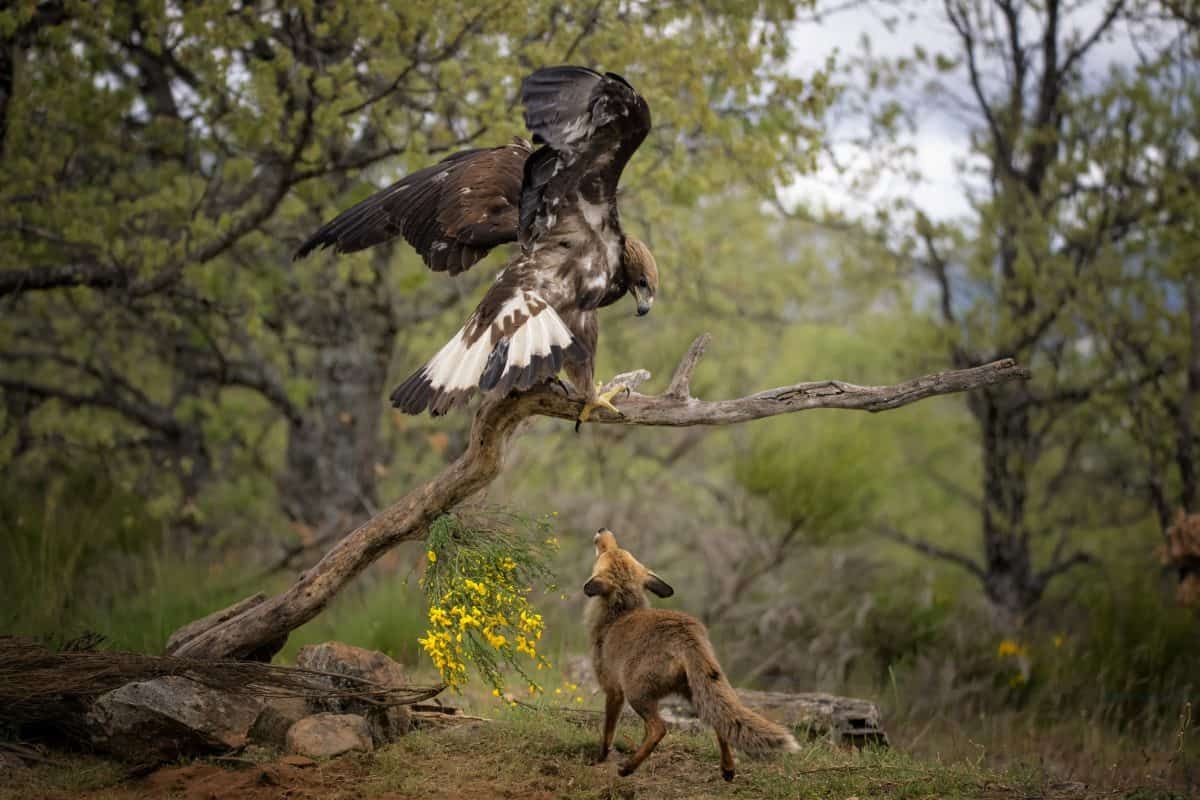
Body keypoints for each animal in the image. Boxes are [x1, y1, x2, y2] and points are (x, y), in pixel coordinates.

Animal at [583, 528, 799, 780]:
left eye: (605, 551)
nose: (603, 530)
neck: (619, 614)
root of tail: (686, 632)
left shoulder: (613, 689)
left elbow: (608, 732)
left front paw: (600, 759)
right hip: (695, 693)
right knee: (719, 723)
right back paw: (727, 769)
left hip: (637, 693)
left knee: (659, 729)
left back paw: (629, 767)